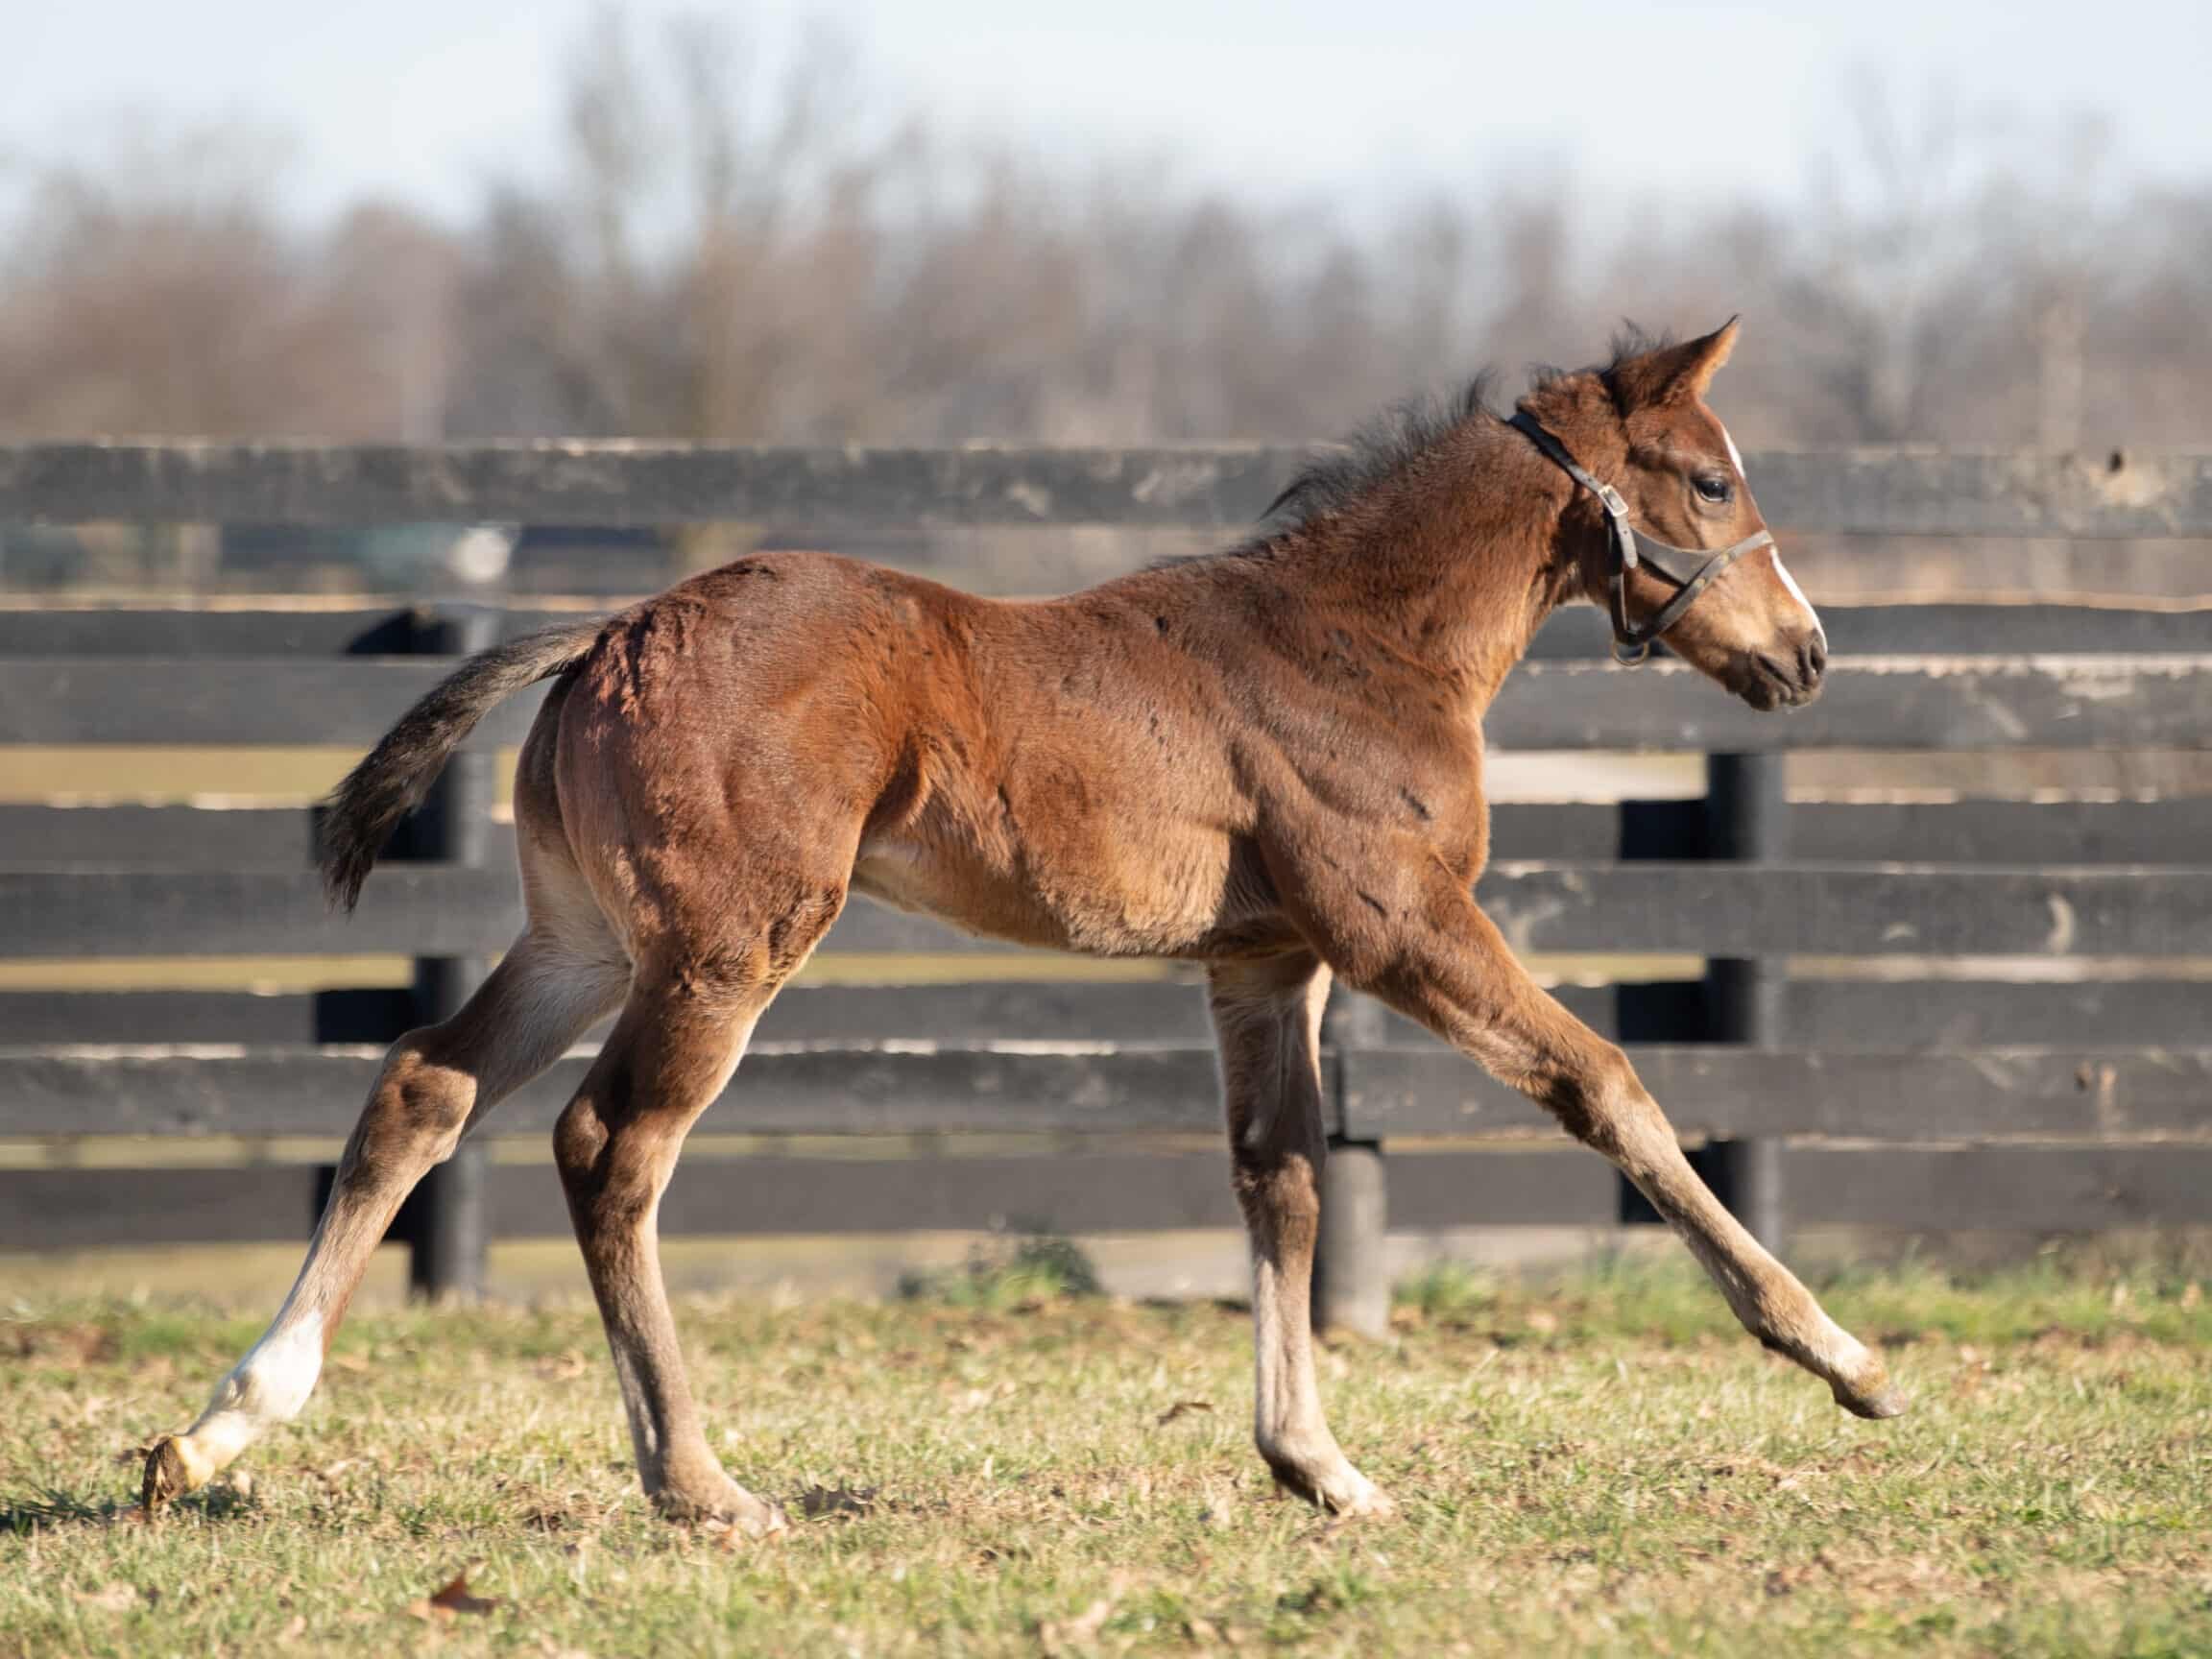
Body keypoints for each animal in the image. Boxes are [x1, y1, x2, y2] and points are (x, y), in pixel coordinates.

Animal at [140, 318, 1901, 1535]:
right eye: (1710, 478)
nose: (1807, 655)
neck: (1356, 643)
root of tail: (615, 628)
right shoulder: (1399, 925)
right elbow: (1604, 1082)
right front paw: (1838, 1349)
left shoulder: (1265, 962)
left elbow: (1279, 1180)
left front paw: (1316, 1464)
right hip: (727, 945)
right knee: (609, 1144)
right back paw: (698, 1482)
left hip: (583, 934)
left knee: (423, 1086)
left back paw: (215, 1429)